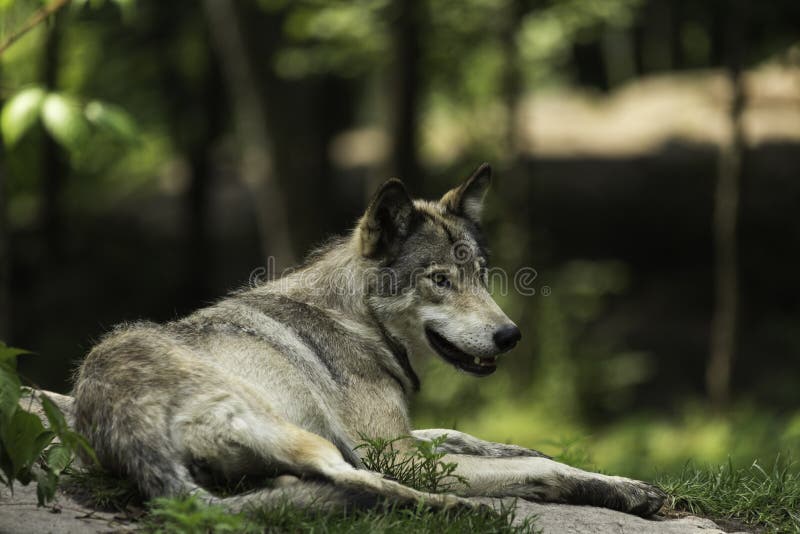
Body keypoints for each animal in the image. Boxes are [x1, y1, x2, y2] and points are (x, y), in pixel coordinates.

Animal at [71, 164, 666, 516]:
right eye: (439, 280)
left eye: (479, 275)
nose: (510, 335)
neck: (360, 323)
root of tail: (120, 425)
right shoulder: (392, 452)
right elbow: (537, 469)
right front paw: (626, 489)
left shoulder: (401, 434)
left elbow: (463, 436)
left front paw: (529, 448)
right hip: (305, 435)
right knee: (365, 481)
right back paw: (454, 510)